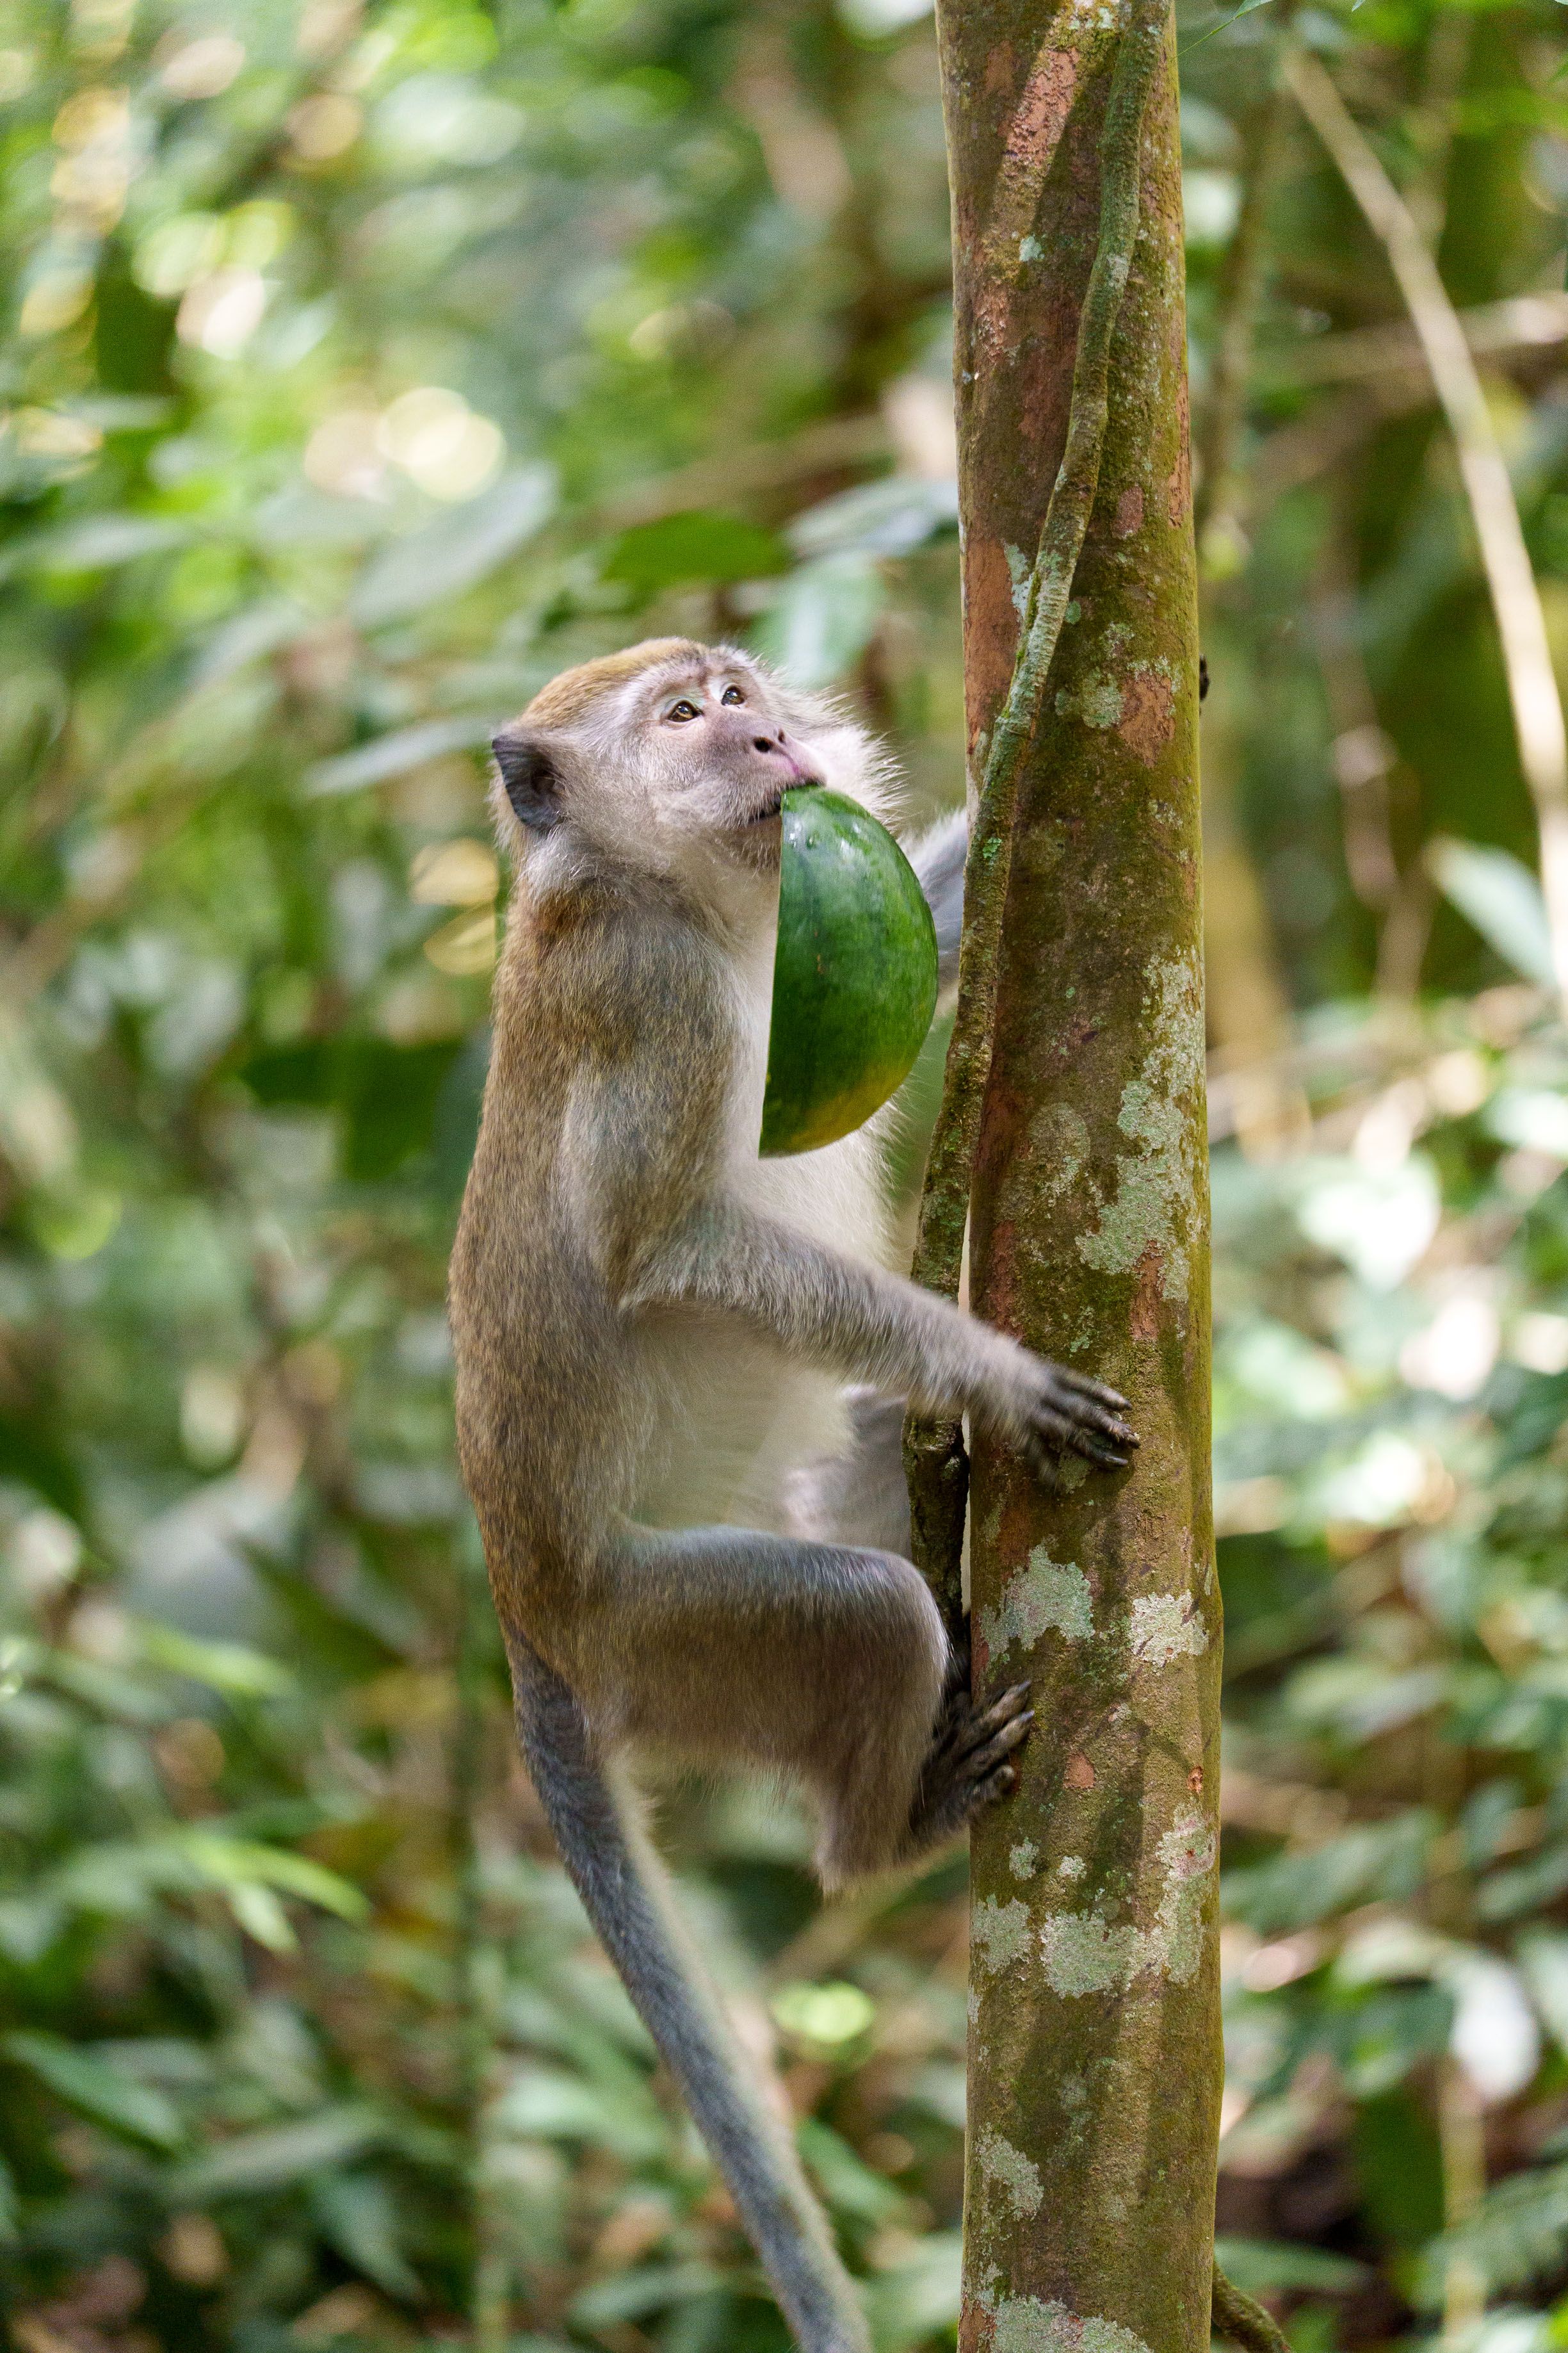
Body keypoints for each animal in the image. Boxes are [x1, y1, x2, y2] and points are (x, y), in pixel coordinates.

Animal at [447, 637, 1136, 2353]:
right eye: (686, 716)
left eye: (740, 684)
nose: (766, 734)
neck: (687, 892)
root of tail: (529, 1630)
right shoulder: (646, 997)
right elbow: (666, 1243)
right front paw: (995, 1366)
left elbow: (940, 920)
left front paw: (1039, 716)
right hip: (672, 1630)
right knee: (866, 1613)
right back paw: (886, 1832)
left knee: (876, 1467)